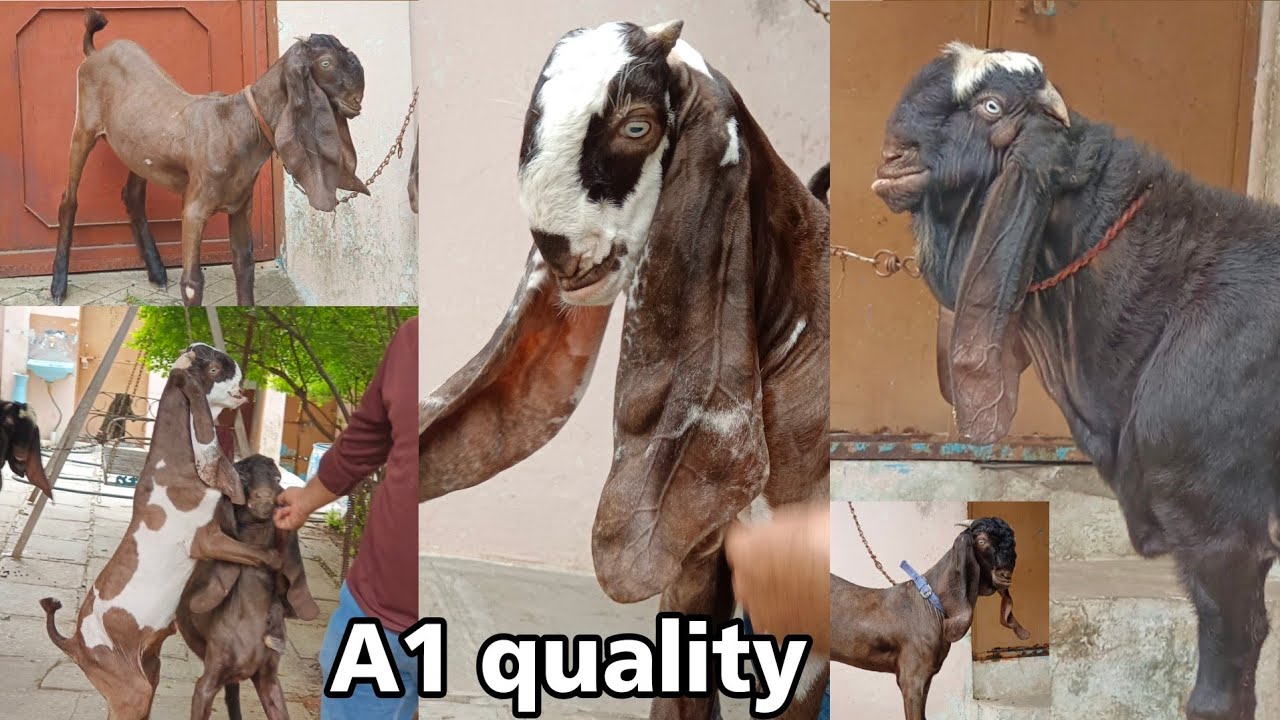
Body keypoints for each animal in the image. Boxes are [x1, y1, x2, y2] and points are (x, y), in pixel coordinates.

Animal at [40, 344, 283, 720]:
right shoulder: (207, 540)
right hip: (133, 692)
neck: (173, 465)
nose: (237, 365)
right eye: (214, 369)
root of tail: (76, 643)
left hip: (147, 674)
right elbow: (266, 556)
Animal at [52, 9, 368, 307]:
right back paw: (58, 285)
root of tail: (95, 53)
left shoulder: (241, 205)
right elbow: (192, 282)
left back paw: (156, 271)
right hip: (84, 127)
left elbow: (244, 266)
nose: (357, 99)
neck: (239, 123)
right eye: (325, 63)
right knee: (69, 199)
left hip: (137, 150)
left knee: (132, 194)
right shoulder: (194, 208)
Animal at [831, 518, 1029, 720]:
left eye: (1013, 543)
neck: (930, 605)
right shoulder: (912, 679)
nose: (1005, 575)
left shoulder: (926, 677)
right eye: (981, 541)